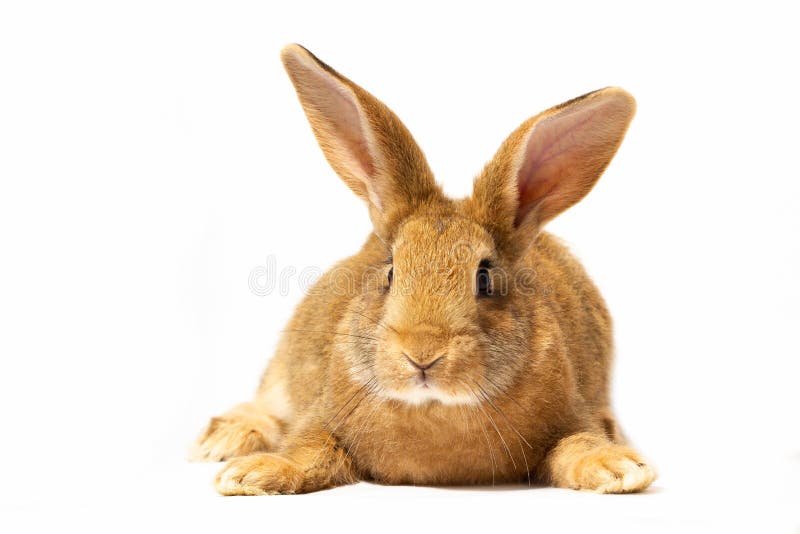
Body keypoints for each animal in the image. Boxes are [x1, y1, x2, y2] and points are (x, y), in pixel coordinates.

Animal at [191, 43, 656, 495]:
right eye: (390, 273)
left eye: (485, 277)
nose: (422, 354)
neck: (434, 410)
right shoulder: (321, 415)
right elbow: (307, 451)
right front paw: (251, 474)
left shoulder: (575, 415)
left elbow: (580, 443)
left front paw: (620, 468)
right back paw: (224, 441)